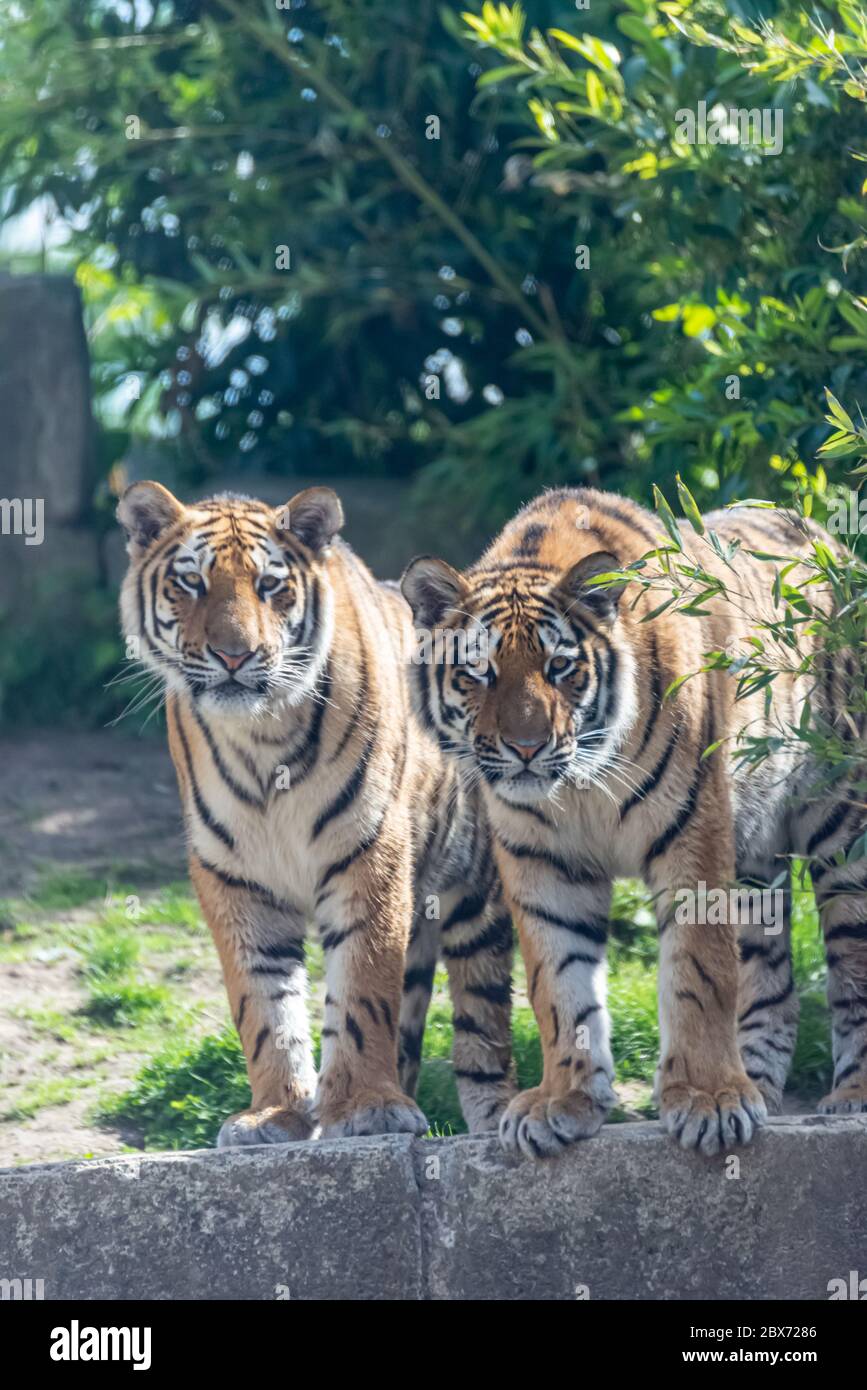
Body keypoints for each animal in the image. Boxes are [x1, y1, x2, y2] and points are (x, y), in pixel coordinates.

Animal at [116, 480, 514, 1146]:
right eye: (191, 582)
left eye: (269, 585)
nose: (234, 656)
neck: (261, 737)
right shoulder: (233, 875)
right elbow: (264, 1007)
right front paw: (274, 1114)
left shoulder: (368, 852)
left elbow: (360, 990)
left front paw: (364, 1109)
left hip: (477, 890)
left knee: (484, 1017)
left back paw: (494, 1119)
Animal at [401, 485, 867, 1159]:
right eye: (480, 671)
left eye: (560, 667)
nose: (525, 748)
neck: (580, 786)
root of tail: (831, 545)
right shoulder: (543, 862)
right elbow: (558, 985)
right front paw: (563, 1101)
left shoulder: (692, 835)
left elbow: (699, 972)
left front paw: (709, 1100)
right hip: (757, 855)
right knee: (772, 984)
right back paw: (759, 1087)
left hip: (842, 825)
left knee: (853, 968)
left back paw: (848, 1097)